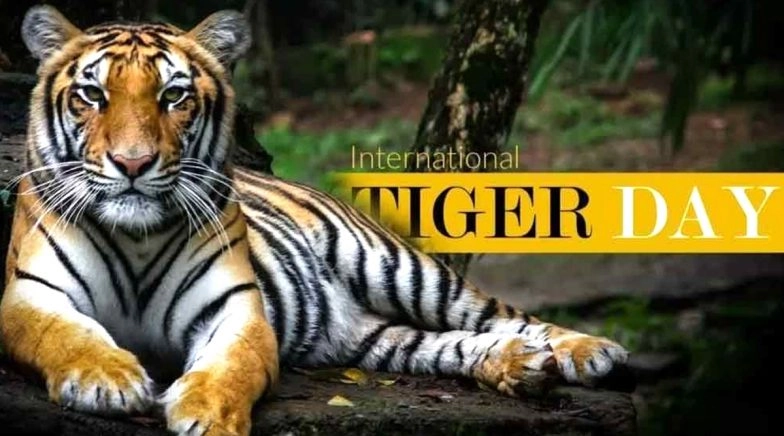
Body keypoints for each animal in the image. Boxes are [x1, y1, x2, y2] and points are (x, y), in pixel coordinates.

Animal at [0, 5, 630, 436]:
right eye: (92, 95)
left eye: (174, 96)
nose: (133, 163)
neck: (136, 236)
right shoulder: (30, 296)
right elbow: (68, 335)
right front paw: (108, 381)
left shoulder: (236, 310)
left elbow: (230, 368)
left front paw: (206, 415)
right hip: (374, 338)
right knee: (444, 343)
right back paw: (518, 365)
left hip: (399, 269)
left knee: (501, 314)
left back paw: (585, 351)